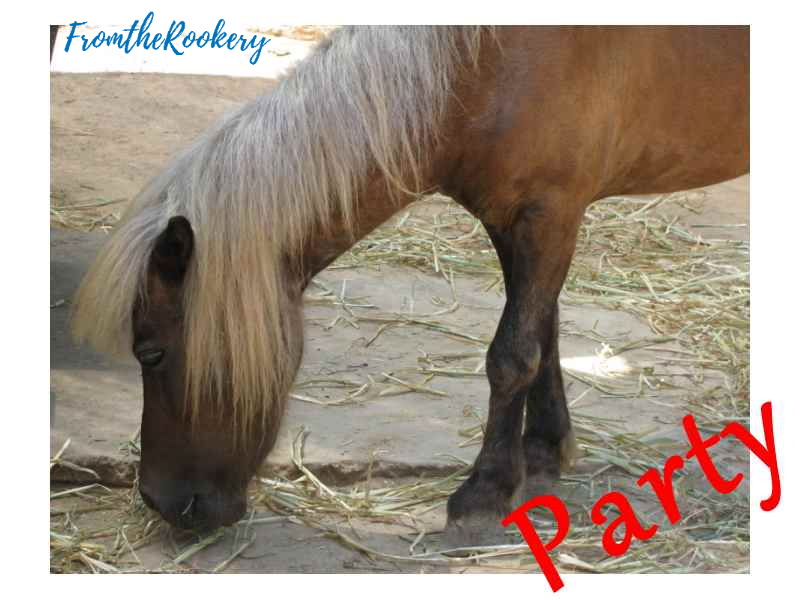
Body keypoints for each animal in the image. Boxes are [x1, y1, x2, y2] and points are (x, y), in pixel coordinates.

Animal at [71, 26, 749, 545]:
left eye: (151, 352)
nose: (159, 502)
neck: (478, 63)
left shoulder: (549, 213)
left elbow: (512, 355)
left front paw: (483, 494)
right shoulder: (519, 222)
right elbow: (545, 337)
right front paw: (543, 454)